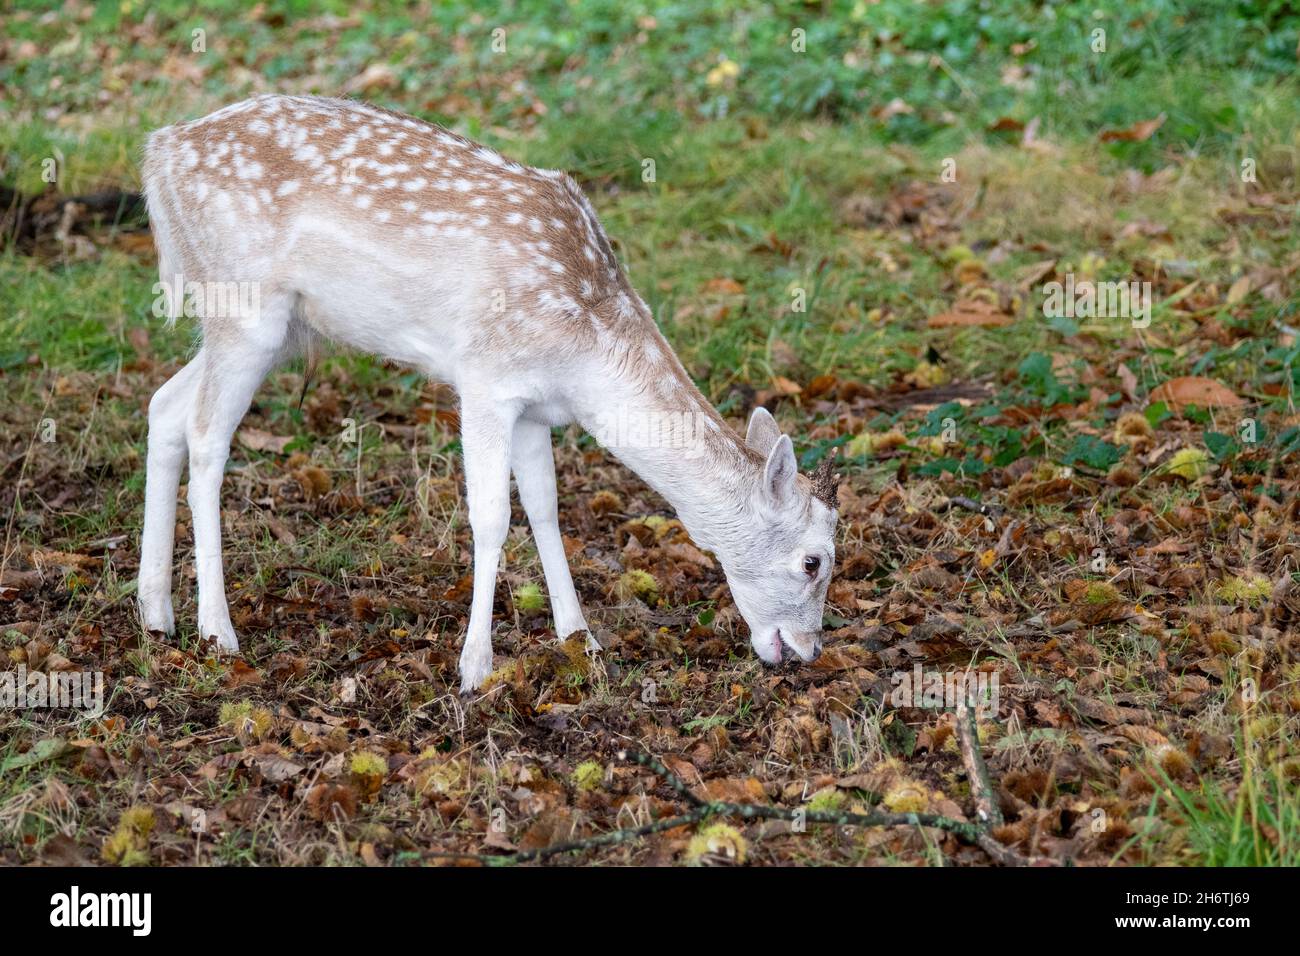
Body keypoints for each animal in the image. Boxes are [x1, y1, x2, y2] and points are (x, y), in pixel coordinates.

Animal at [136, 94, 839, 693]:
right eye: (814, 561)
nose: (807, 652)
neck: (582, 354)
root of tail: (158, 150)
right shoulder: (485, 381)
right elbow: (492, 516)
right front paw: (475, 667)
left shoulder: (534, 410)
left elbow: (546, 508)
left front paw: (582, 641)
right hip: (245, 307)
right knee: (206, 436)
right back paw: (217, 631)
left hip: (281, 329)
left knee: (164, 406)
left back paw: (154, 611)